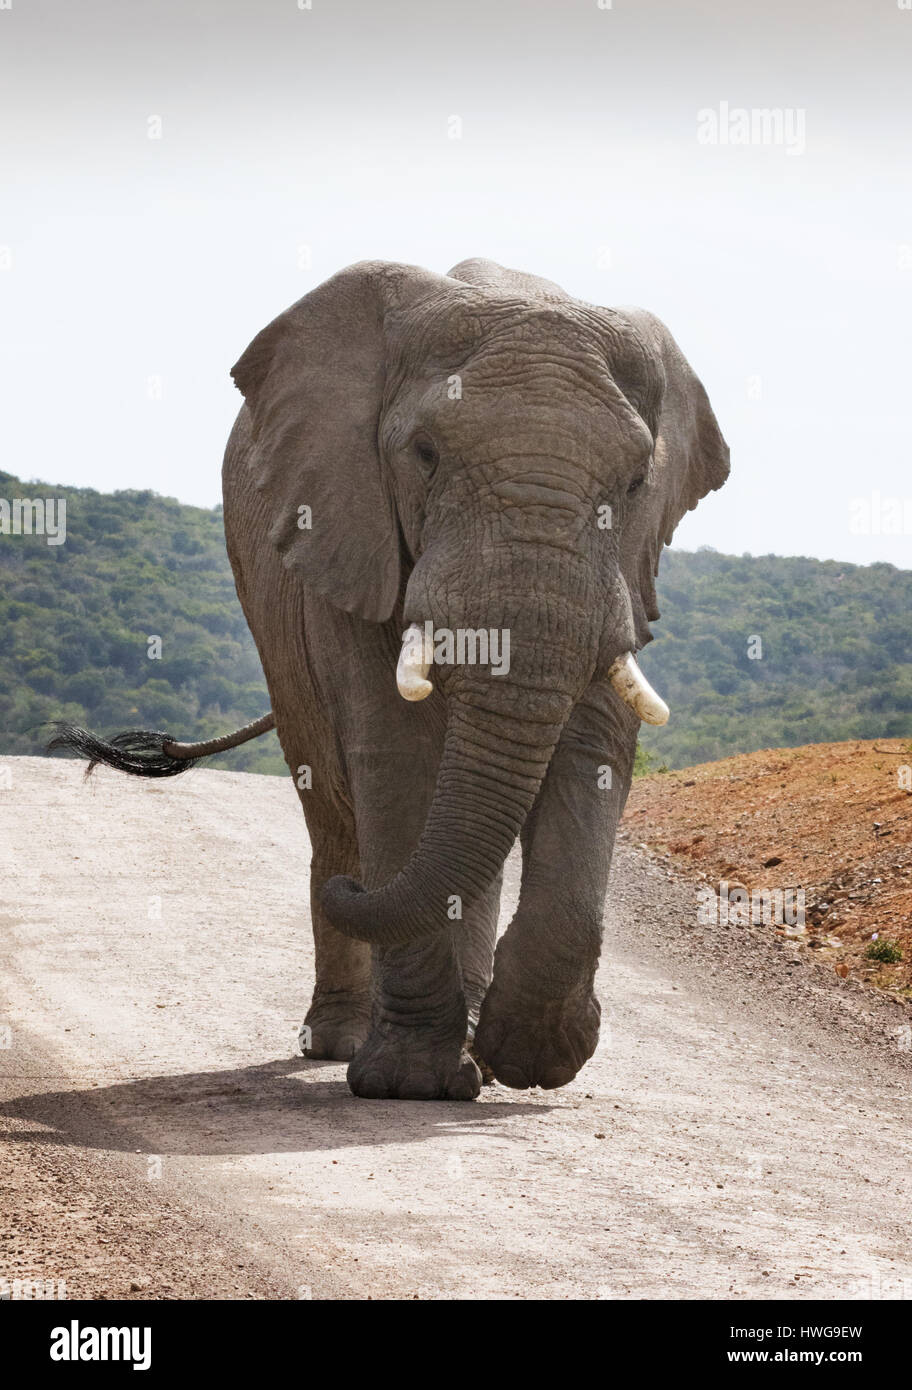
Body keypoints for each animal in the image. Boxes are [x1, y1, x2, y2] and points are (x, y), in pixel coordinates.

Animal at [51, 258, 729, 1101]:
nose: (357, 896)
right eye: (425, 453)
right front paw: (412, 1084)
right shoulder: (351, 531)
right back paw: (340, 1035)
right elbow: (397, 754)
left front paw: (531, 1060)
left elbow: (597, 749)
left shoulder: (623, 577)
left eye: (638, 482)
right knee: (330, 794)